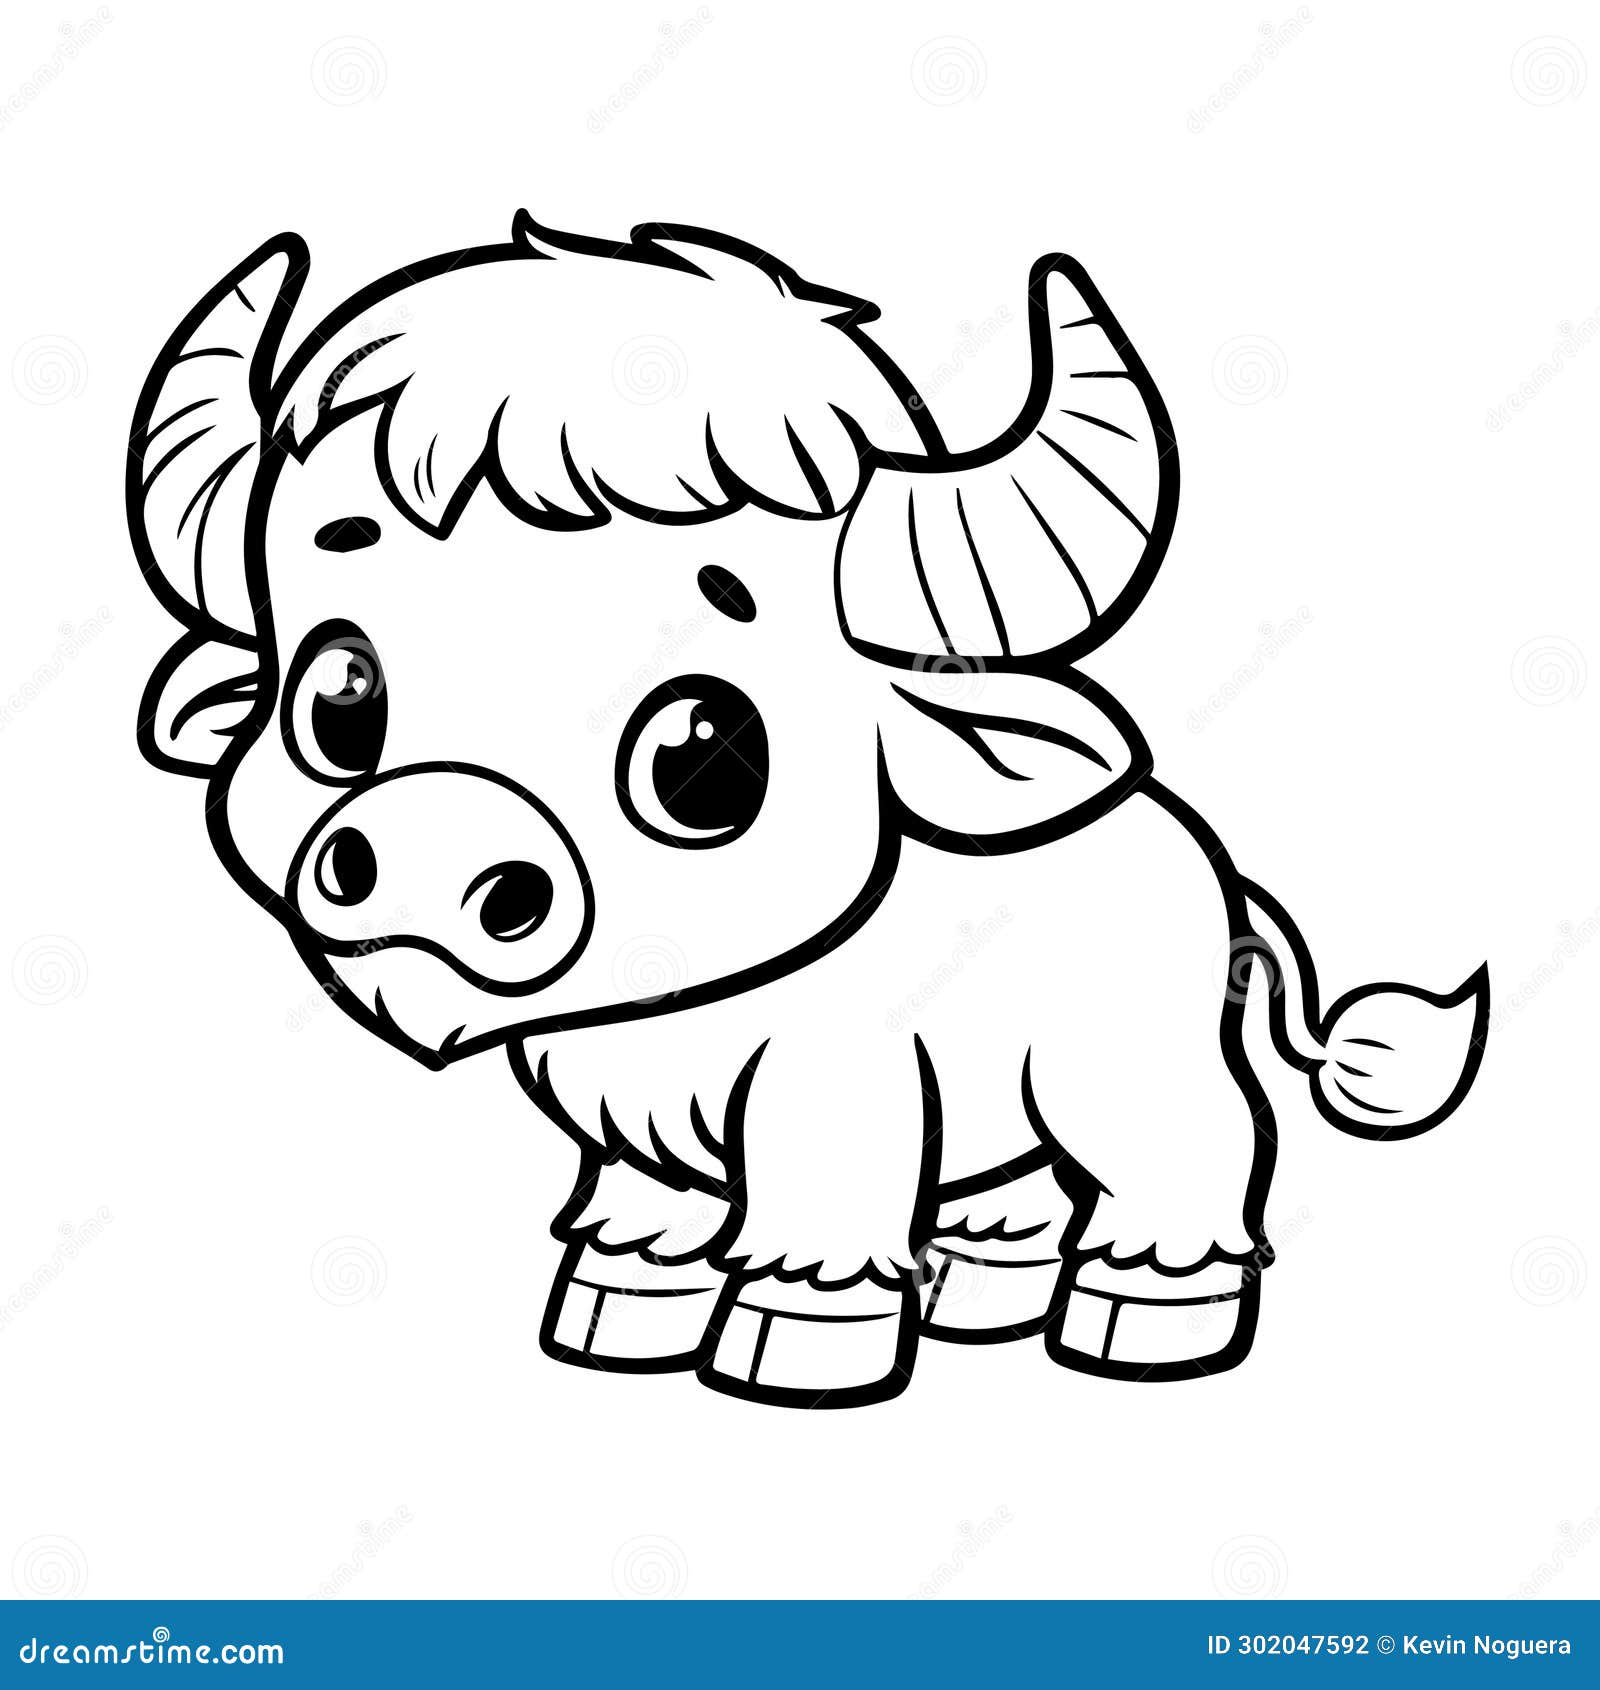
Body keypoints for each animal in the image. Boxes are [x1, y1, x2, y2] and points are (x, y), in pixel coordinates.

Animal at [129, 215, 1489, 1408]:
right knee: (1017, 1189)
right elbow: (650, 1218)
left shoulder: (838, 1092)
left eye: (703, 754)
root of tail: (1192, 852)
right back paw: (983, 1296)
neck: (674, 1018)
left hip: (1127, 1071)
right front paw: (614, 1319)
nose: (433, 831)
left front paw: (792, 1357)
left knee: (1196, 1156)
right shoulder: (634, 1132)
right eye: (339, 699)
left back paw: (1144, 1321)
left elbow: (815, 1227)